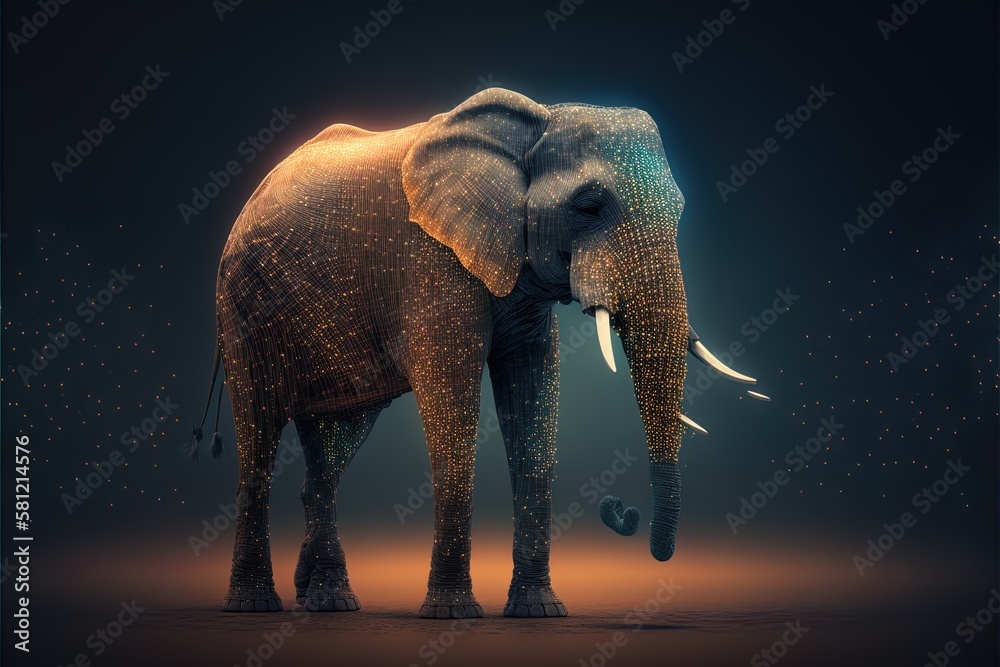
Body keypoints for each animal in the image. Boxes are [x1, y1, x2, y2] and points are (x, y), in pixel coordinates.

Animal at [188, 87, 761, 618]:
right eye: (588, 206)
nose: (621, 511)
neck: (533, 122)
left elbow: (533, 400)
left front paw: (538, 611)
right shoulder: (431, 261)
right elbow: (453, 403)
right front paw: (452, 613)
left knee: (328, 451)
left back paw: (325, 600)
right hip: (242, 308)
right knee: (260, 437)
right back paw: (255, 604)